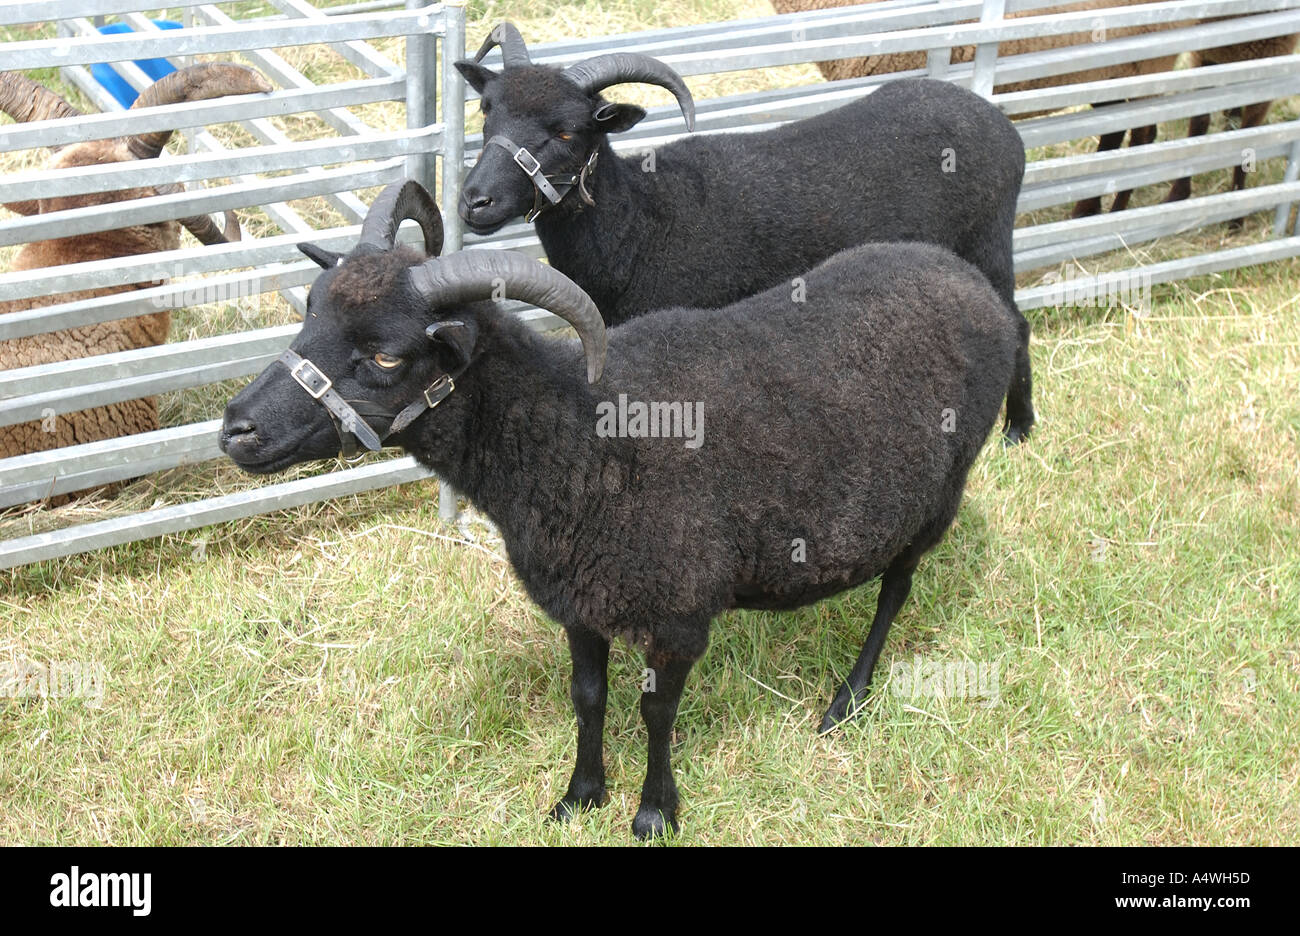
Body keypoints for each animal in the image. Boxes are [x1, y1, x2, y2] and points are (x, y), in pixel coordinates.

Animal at [220, 181, 1020, 839]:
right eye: (310, 313)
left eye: (386, 357)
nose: (236, 429)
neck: (574, 435)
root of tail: (963, 276)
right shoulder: (580, 597)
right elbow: (589, 697)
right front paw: (578, 797)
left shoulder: (678, 612)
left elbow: (656, 712)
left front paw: (653, 813)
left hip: (938, 496)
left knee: (896, 589)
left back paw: (846, 701)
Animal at [454, 23, 1036, 443]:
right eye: (486, 113)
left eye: (566, 133)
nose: (474, 201)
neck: (641, 222)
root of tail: (998, 119)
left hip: (987, 239)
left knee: (1017, 322)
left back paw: (1019, 428)